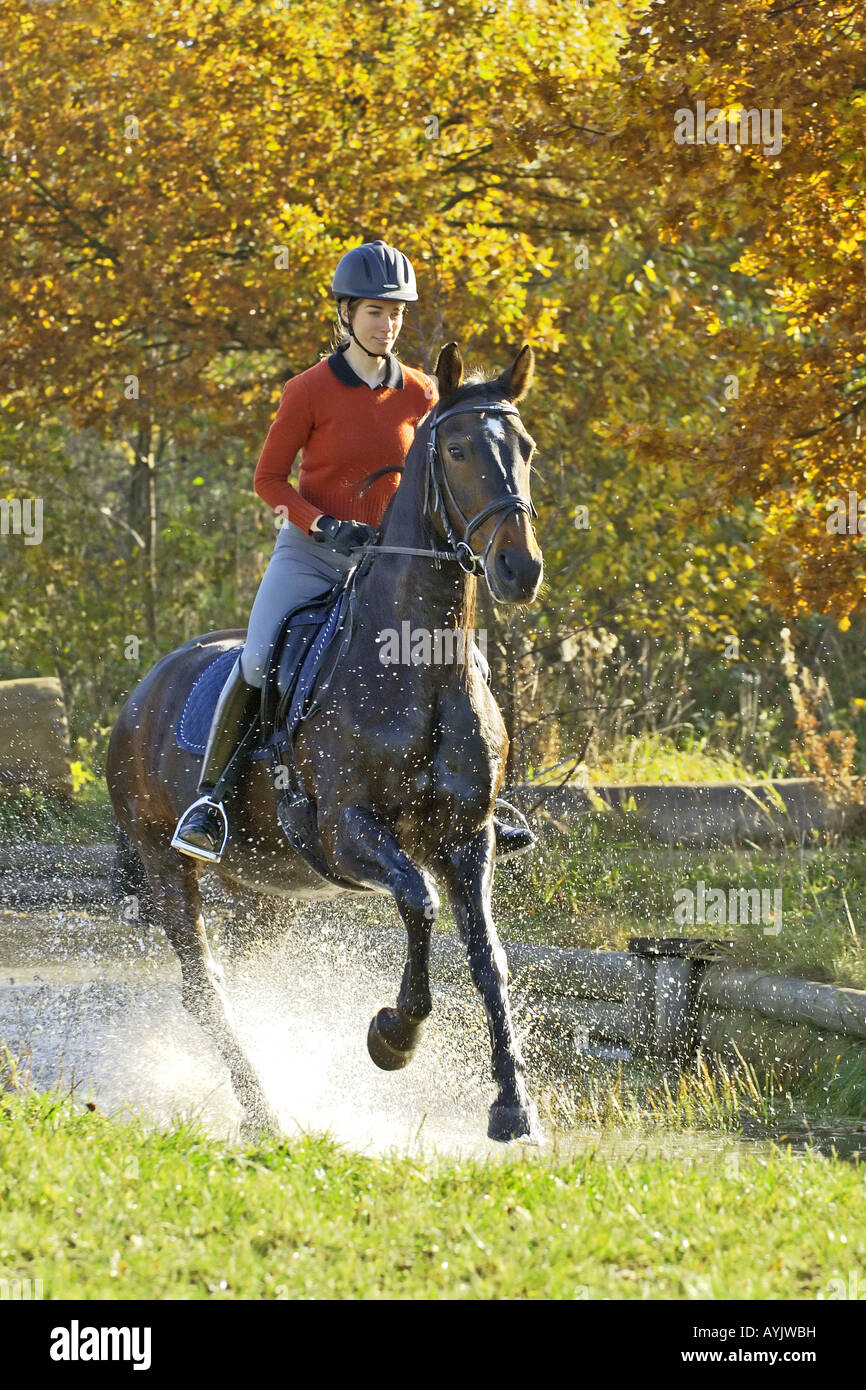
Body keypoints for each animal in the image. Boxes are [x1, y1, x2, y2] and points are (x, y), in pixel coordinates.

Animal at [106, 341, 544, 1142]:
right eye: (458, 449)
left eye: (524, 448)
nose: (518, 568)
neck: (418, 665)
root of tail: (145, 689)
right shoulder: (348, 831)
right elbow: (419, 902)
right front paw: (393, 1037)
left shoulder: (468, 837)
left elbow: (488, 958)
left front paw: (512, 1105)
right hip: (164, 860)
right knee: (205, 985)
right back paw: (261, 1111)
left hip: (266, 892)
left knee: (241, 975)